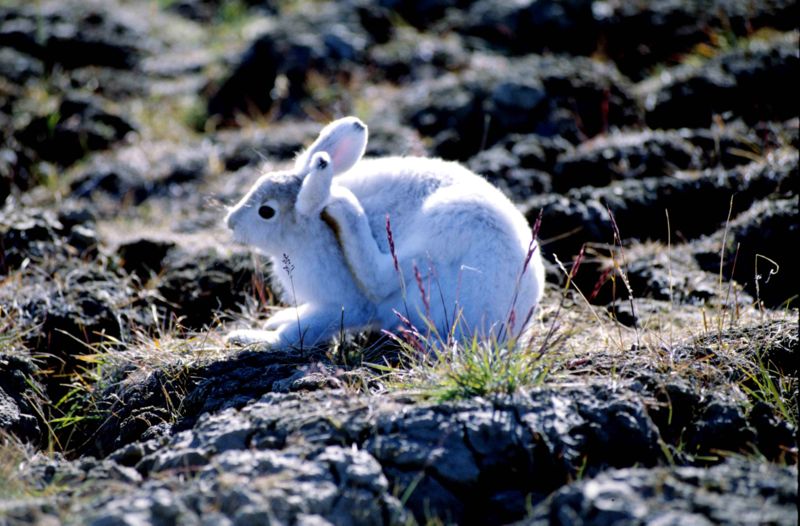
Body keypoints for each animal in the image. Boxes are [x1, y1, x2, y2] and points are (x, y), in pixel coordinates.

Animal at [224, 116, 544, 349]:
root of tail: (510, 325)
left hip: (447, 226)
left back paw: (344, 205)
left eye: (266, 211)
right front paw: (276, 319)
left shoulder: (346, 304)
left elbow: (302, 332)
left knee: (381, 277)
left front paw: (253, 338)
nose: (230, 223)